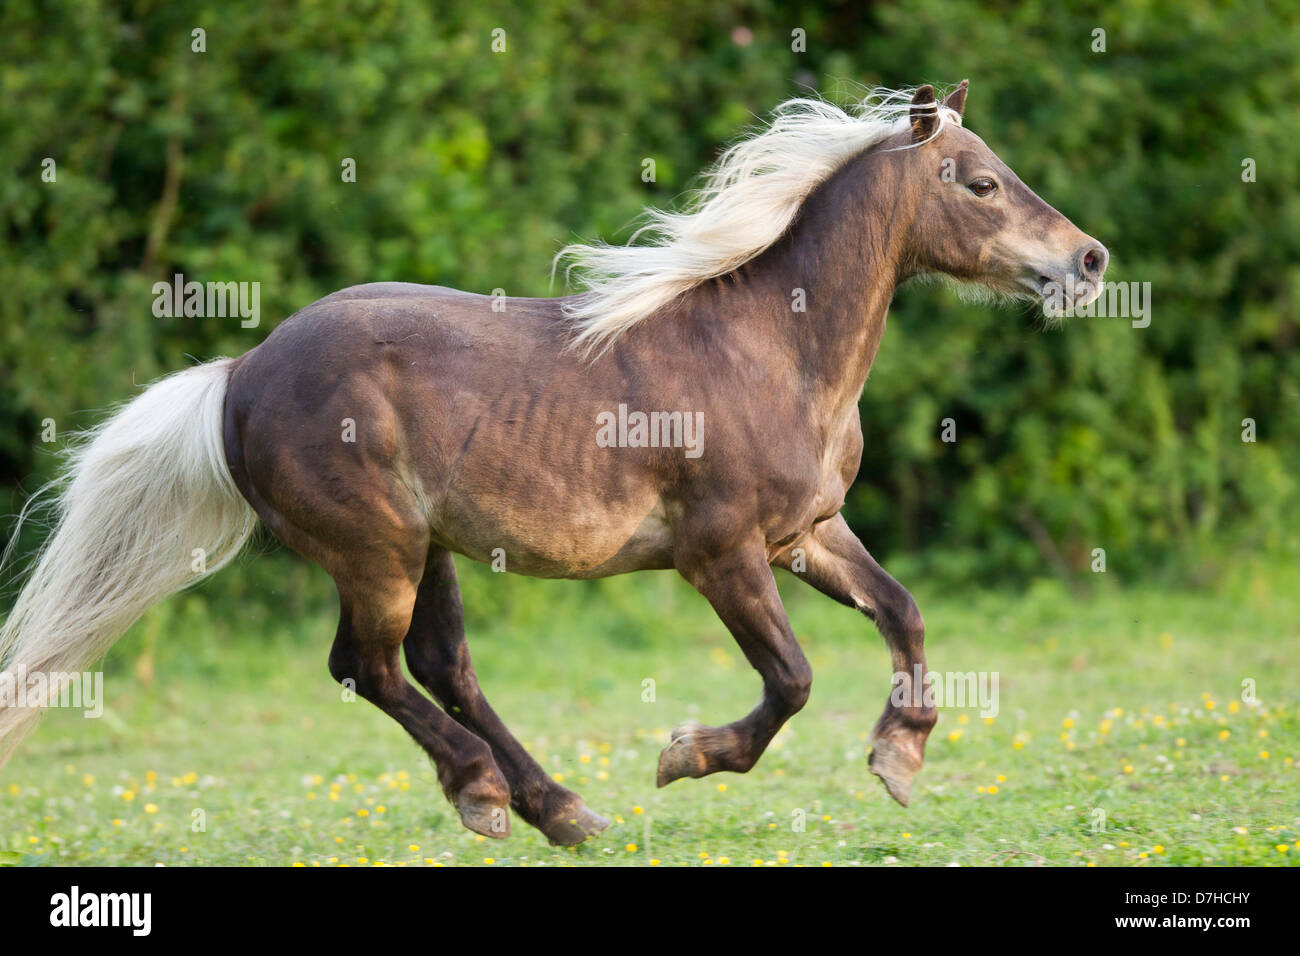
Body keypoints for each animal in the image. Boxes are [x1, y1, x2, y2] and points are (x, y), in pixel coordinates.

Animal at [0, 82, 1107, 845]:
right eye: (981, 183)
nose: (1090, 261)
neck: (775, 352)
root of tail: (237, 375)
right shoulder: (720, 553)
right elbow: (790, 679)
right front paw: (684, 756)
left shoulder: (807, 534)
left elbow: (904, 612)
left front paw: (898, 757)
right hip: (376, 550)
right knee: (369, 666)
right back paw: (488, 795)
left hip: (430, 548)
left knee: (439, 665)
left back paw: (560, 808)